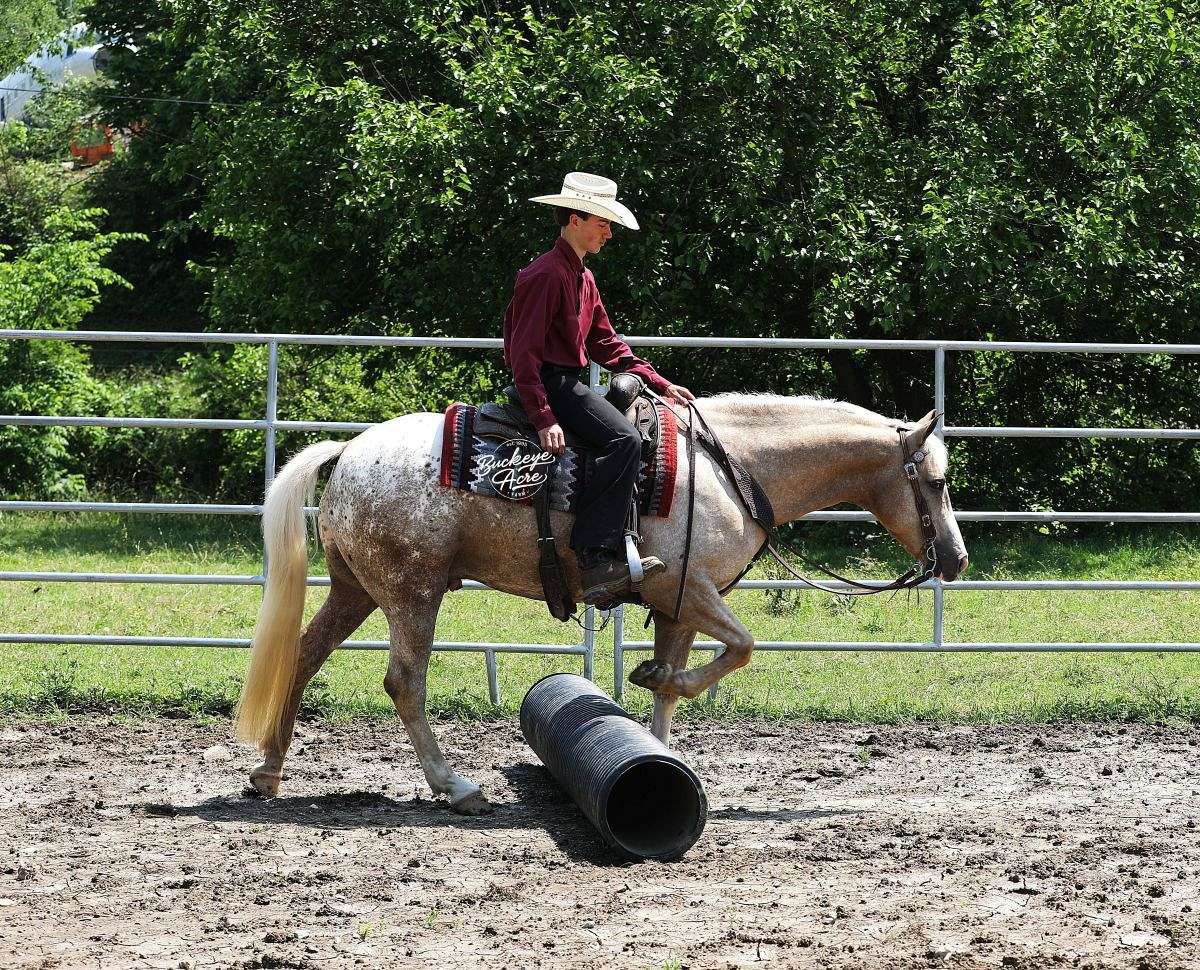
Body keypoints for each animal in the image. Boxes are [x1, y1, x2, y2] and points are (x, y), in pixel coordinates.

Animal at [232, 393, 969, 815]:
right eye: (934, 481)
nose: (957, 560)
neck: (729, 468)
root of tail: (348, 451)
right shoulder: (688, 590)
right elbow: (742, 646)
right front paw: (654, 678)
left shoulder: (677, 606)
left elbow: (673, 694)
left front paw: (663, 737)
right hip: (413, 593)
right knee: (404, 682)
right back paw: (457, 788)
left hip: (355, 589)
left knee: (304, 655)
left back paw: (268, 773)